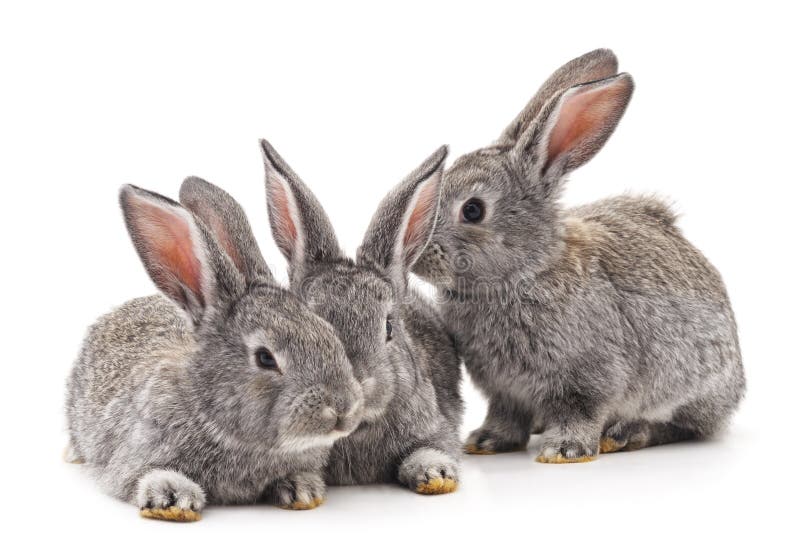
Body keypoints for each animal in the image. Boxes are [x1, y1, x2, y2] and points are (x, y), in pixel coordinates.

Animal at [65, 178, 363, 521]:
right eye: (265, 357)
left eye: (329, 332)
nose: (343, 408)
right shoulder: (133, 457)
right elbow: (143, 477)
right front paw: (174, 499)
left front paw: (302, 490)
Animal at [411, 48, 746, 463]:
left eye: (472, 210)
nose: (416, 254)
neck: (527, 271)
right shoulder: (504, 391)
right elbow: (505, 416)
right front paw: (487, 441)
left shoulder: (589, 378)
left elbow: (581, 410)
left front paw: (565, 450)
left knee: (684, 425)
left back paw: (626, 435)